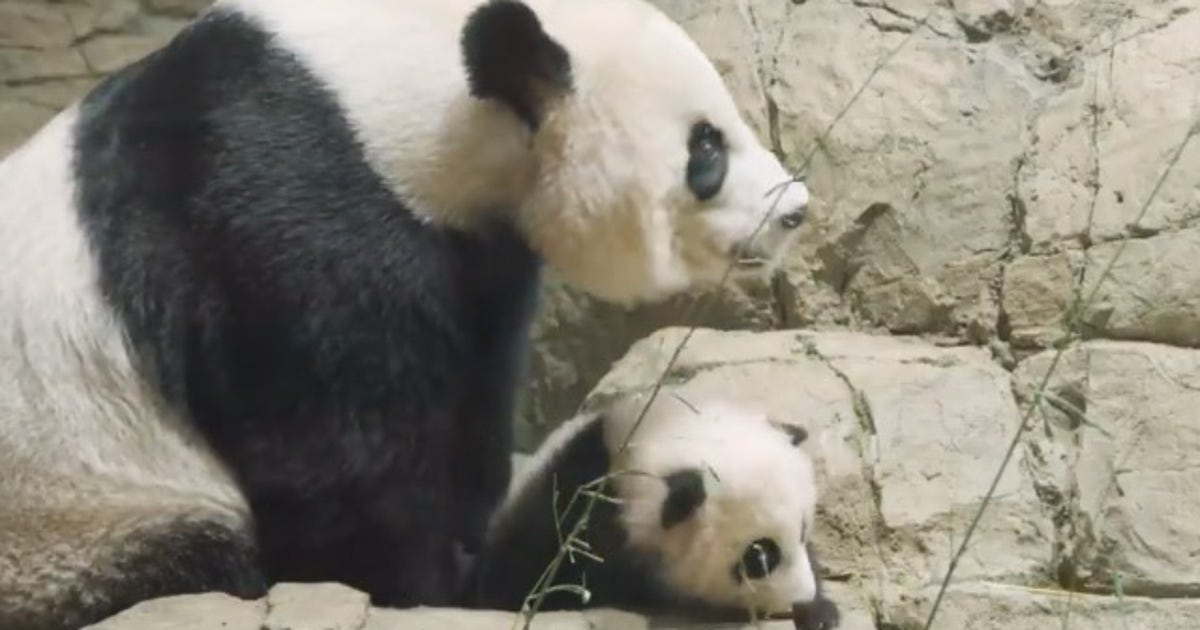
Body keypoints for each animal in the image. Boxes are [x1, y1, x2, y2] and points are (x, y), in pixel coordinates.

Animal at [463, 390, 840, 630]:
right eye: (759, 556)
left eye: (804, 531)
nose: (801, 598)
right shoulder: (572, 503)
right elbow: (520, 576)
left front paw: (821, 612)